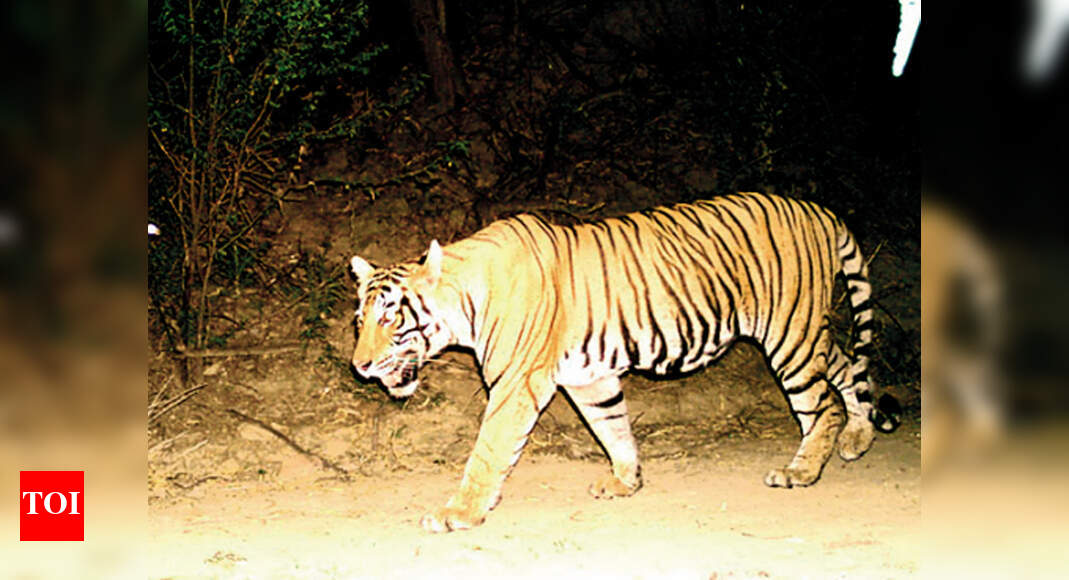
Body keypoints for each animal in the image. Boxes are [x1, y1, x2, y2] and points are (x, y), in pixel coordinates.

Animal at [348, 191, 900, 533]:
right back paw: (858, 439)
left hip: (789, 334)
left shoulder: (514, 386)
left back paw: (801, 471)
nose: (361, 367)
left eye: (391, 318)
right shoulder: (590, 377)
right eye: (359, 321)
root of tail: (816, 208)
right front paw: (625, 481)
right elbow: (612, 428)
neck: (466, 299)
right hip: (809, 332)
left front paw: (458, 513)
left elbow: (487, 452)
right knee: (849, 369)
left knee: (821, 405)